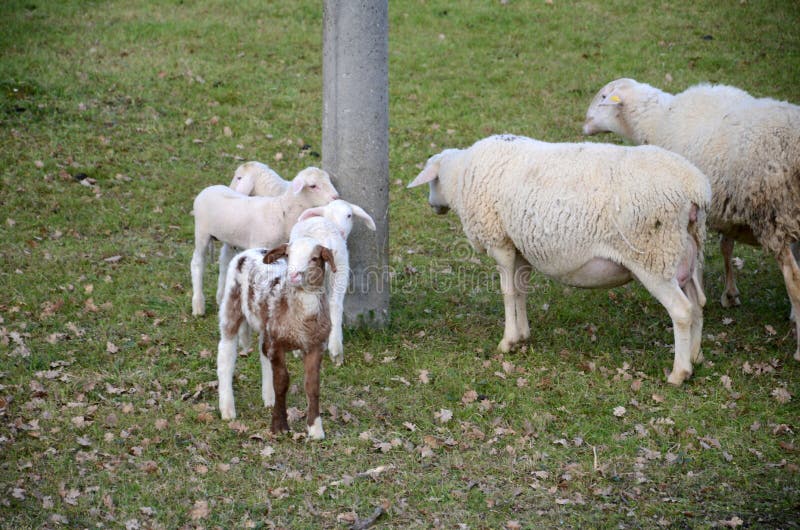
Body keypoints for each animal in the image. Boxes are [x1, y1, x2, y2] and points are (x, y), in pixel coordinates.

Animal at [191, 166, 339, 316]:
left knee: (224, 263)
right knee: (197, 262)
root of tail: (209, 188)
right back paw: (198, 305)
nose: (336, 197)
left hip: (229, 236)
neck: (282, 212)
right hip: (201, 232)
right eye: (313, 186)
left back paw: (221, 298)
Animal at [216, 238, 336, 439]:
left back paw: (269, 398)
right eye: (288, 255)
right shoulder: (278, 343)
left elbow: (312, 386)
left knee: (263, 353)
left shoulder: (316, 345)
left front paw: (315, 429)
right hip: (232, 302)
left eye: (314, 258)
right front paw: (279, 426)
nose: (293, 275)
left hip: (267, 326)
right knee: (225, 355)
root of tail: (250, 251)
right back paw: (227, 409)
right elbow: (282, 382)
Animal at [289, 200, 377, 365]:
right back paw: (336, 351)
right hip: (340, 268)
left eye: (349, 215)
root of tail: (326, 240)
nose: (342, 231)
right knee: (335, 305)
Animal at [408, 134, 711, 385]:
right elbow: (521, 291)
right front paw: (523, 335)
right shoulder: (521, 247)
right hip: (688, 252)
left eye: (432, 181)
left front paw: (507, 341)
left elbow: (507, 292)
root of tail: (694, 189)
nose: (432, 206)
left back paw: (679, 373)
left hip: (653, 257)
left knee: (681, 310)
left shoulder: (501, 243)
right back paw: (695, 357)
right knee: (698, 303)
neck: (461, 175)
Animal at [583, 78, 800, 360]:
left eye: (604, 97)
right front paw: (729, 294)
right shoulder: (722, 209)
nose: (584, 123)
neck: (657, 119)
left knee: (794, 279)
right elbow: (726, 247)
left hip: (774, 215)